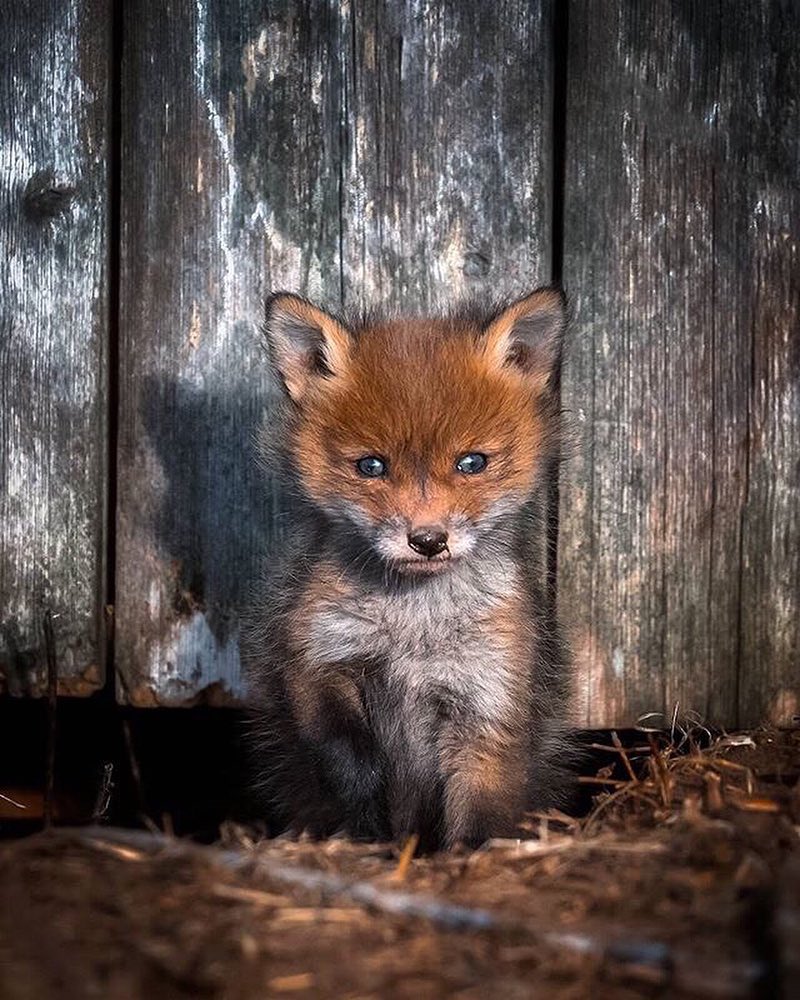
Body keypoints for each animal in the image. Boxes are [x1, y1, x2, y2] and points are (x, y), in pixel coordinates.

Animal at [243, 288, 574, 850]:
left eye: (472, 462)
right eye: (372, 466)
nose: (427, 541)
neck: (413, 630)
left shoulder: (488, 704)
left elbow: (481, 809)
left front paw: (468, 855)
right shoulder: (316, 662)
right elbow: (350, 758)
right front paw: (370, 825)